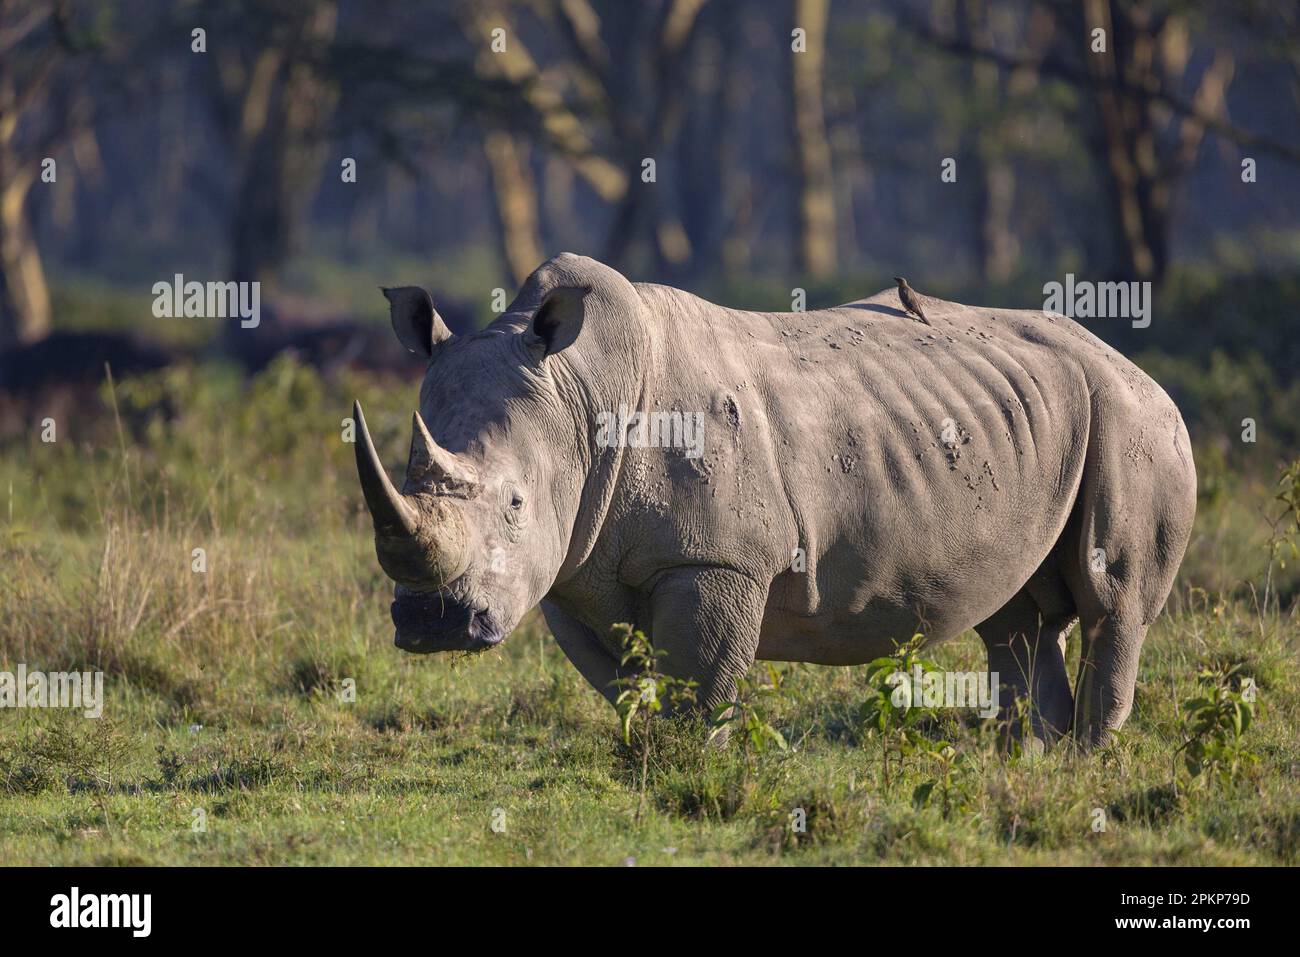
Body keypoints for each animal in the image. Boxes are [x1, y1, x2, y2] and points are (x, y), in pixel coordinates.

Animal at [354, 253, 1195, 747]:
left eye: (516, 503)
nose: (433, 623)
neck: (577, 391)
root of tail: (1139, 367)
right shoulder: (570, 568)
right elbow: (628, 685)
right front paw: (646, 757)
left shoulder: (717, 558)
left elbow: (701, 683)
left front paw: (690, 770)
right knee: (1015, 621)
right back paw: (1033, 763)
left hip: (1133, 417)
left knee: (1113, 600)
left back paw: (1088, 765)